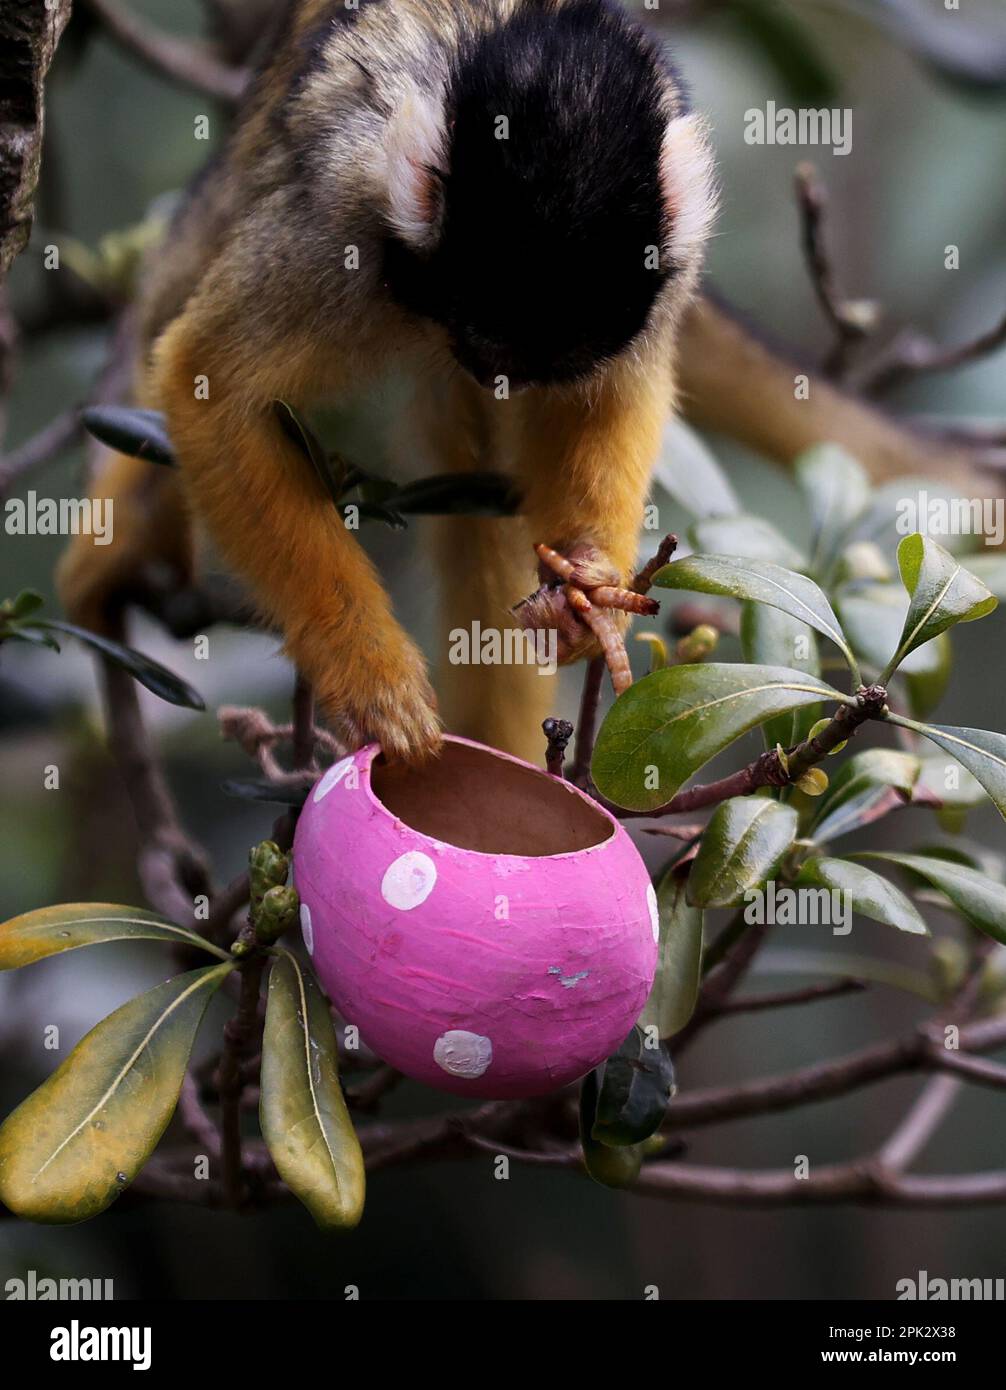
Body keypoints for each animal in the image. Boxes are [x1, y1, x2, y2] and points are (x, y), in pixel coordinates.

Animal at [57, 0, 717, 766]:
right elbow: (209, 381)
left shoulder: (667, 268)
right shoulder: (341, 211)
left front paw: (588, 582)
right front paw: (368, 672)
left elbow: (612, 396)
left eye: (537, 368)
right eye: (474, 337)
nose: (494, 377)